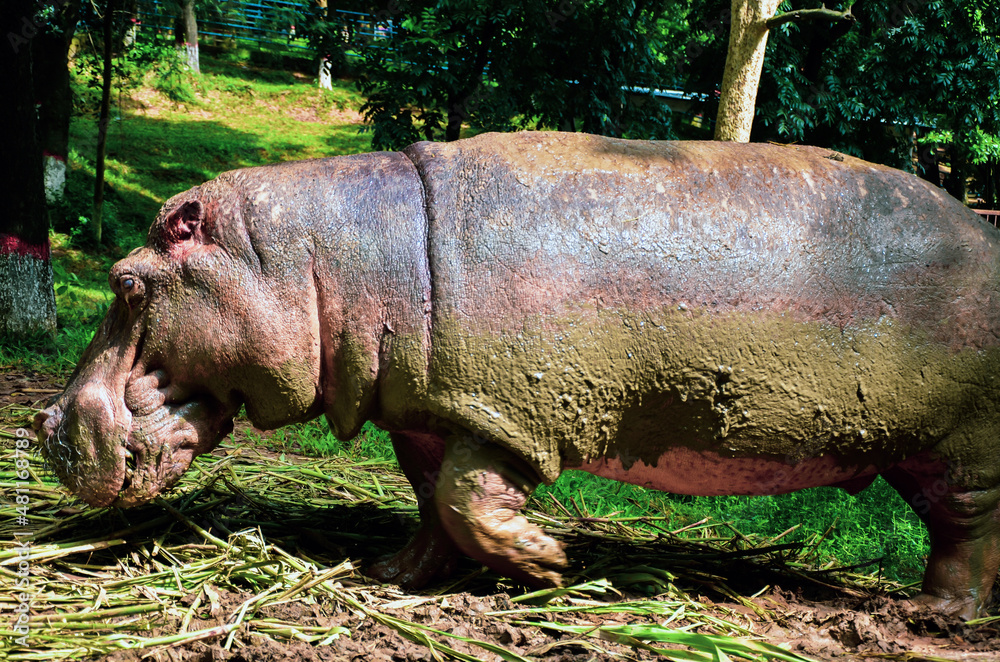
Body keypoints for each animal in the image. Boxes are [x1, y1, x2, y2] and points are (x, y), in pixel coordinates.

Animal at [34, 132, 1000, 619]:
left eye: (125, 282)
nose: (43, 427)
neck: (319, 262)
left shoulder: (509, 414)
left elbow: (469, 498)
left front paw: (549, 564)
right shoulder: (426, 412)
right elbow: (431, 501)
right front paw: (395, 574)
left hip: (960, 447)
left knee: (967, 529)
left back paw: (936, 619)